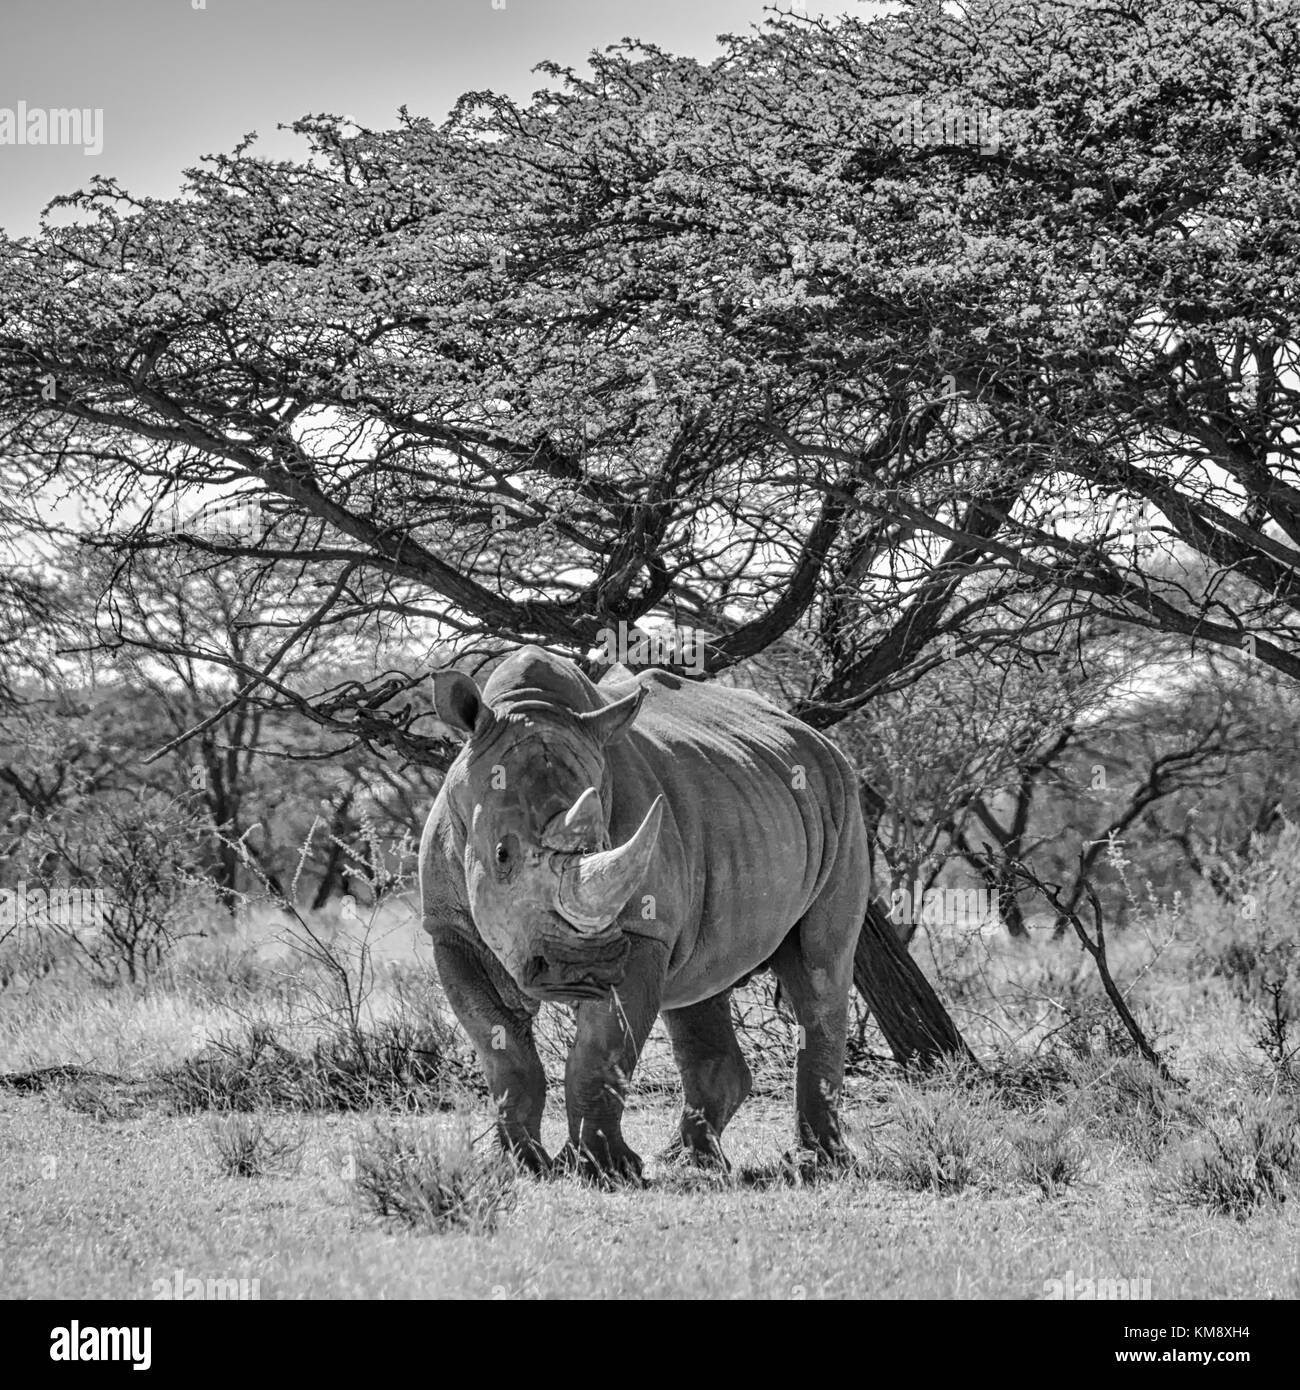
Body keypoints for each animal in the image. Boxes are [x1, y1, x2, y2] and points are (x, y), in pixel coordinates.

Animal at [419, 645, 871, 1180]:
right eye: (503, 855)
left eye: (603, 845)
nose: (584, 970)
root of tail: (819, 740)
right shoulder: (449, 929)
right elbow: (503, 1051)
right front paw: (518, 1166)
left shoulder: (640, 932)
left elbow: (600, 1052)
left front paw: (603, 1170)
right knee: (701, 983)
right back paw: (693, 1161)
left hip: (842, 799)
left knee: (819, 969)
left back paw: (819, 1162)